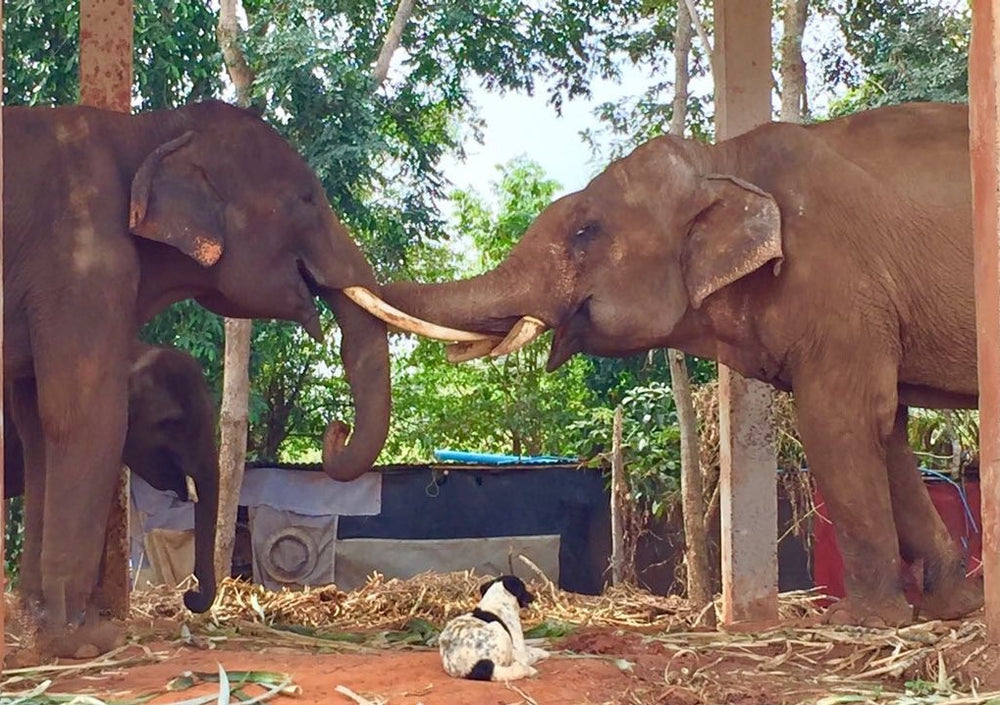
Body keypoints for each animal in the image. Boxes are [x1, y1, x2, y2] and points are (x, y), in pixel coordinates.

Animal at [378, 102, 983, 627]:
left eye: (585, 232)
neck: (722, 160)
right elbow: (888, 427)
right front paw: (952, 609)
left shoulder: (838, 284)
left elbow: (842, 420)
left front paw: (860, 622)